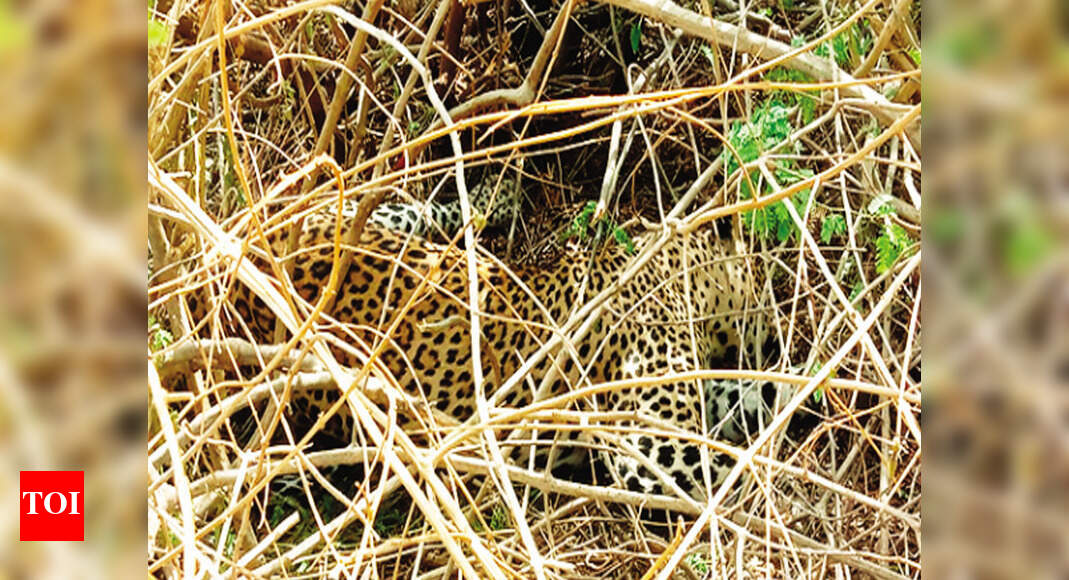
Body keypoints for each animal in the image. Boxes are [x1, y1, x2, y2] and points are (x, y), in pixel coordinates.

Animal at [181, 176, 795, 501]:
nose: (775, 326)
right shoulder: (656, 450)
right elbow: (732, 458)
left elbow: (752, 400)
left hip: (377, 219)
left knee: (419, 206)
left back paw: (496, 194)